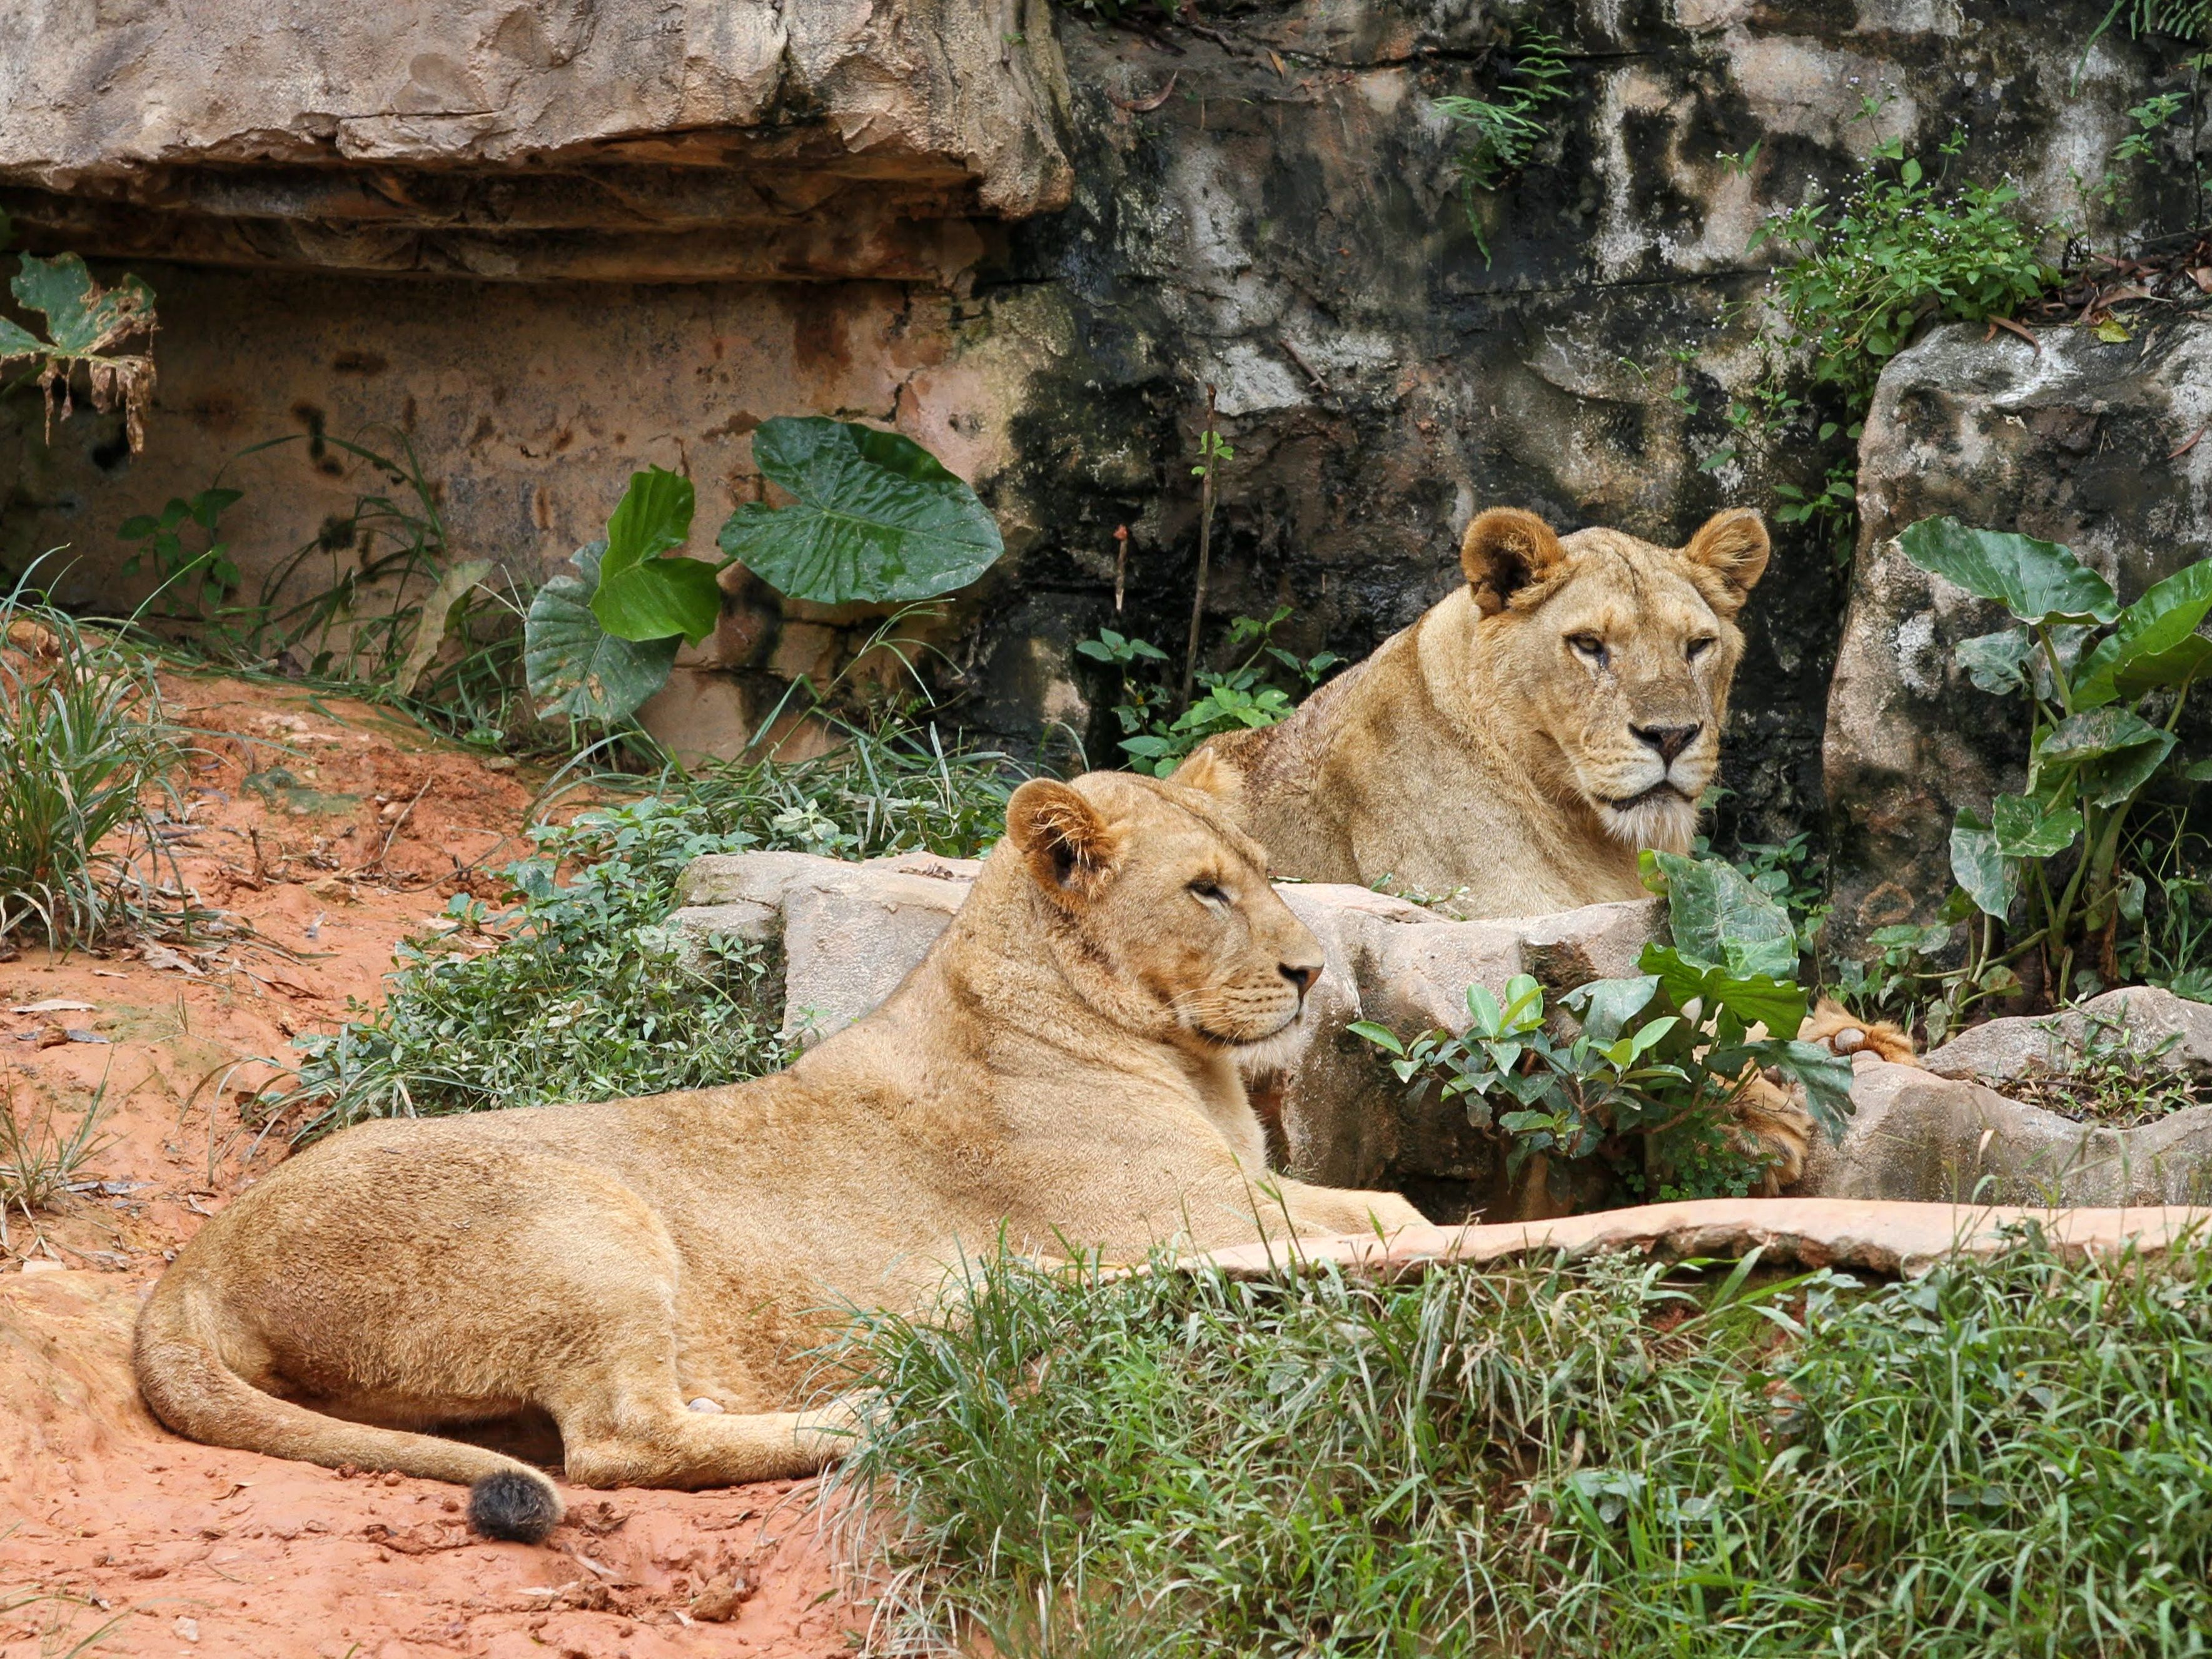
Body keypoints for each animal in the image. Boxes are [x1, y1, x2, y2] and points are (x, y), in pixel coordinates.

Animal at [133, 772, 1425, 1542]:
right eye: (1206, 891)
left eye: (1261, 870)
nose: (1312, 969)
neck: (1186, 1057)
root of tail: (198, 1258)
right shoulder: (1186, 1216)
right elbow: (1387, 1216)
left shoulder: (1244, 1189)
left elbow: (1390, 1204)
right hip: (586, 1214)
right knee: (620, 1440)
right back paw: (879, 1407)